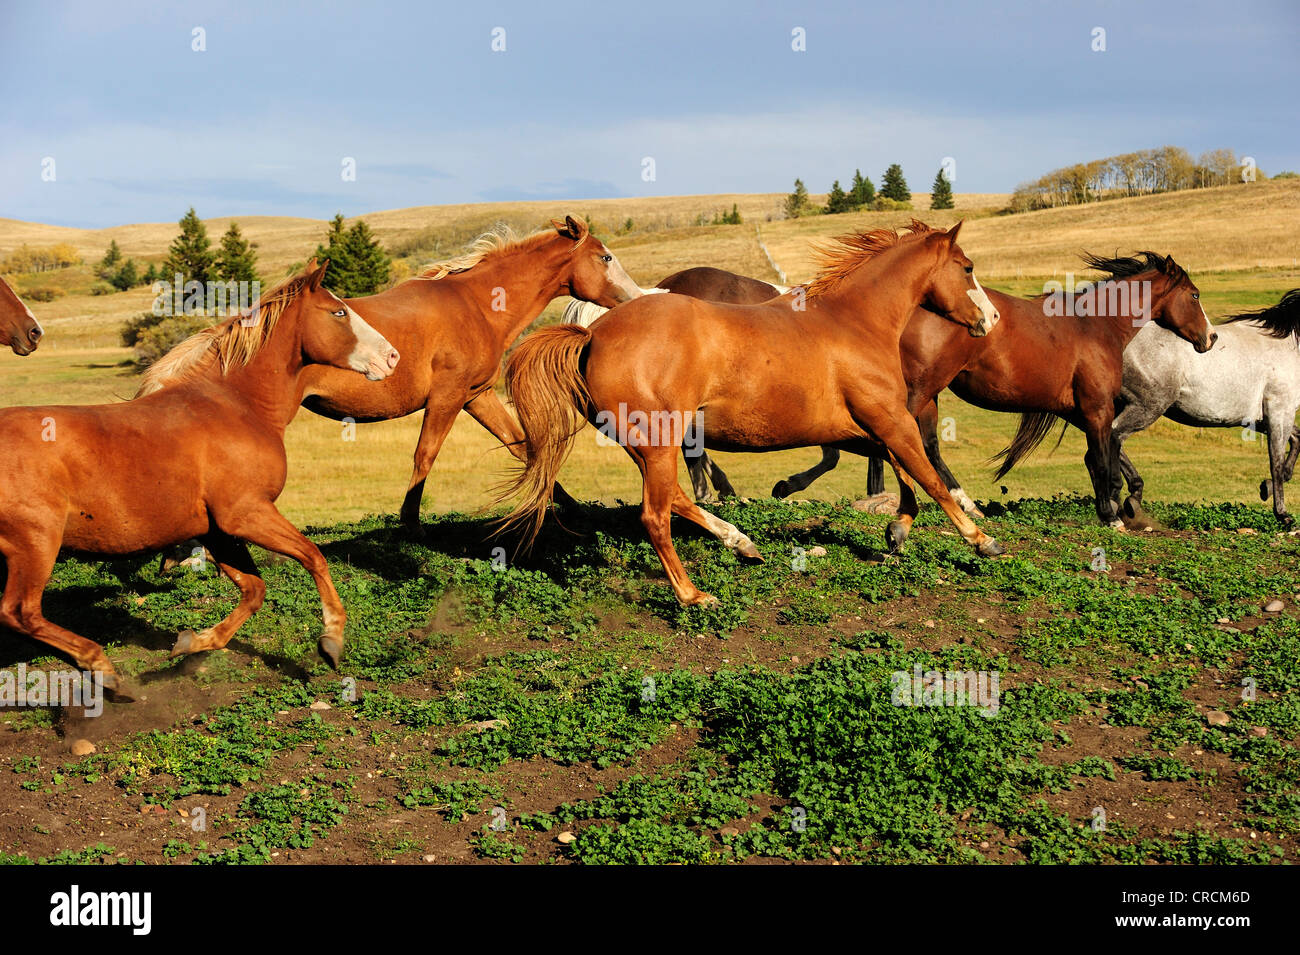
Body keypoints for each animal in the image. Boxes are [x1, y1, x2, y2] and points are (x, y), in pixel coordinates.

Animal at [0, 261, 399, 695]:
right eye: (339, 312)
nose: (393, 357)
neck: (235, 405)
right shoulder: (246, 514)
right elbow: (313, 557)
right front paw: (332, 640)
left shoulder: (217, 529)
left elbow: (254, 589)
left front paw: (191, 643)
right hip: (36, 544)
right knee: (20, 612)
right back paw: (102, 667)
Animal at [294, 216, 641, 533]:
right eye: (605, 257)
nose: (636, 298)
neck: (476, 306)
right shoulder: (447, 398)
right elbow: (425, 455)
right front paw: (411, 524)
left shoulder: (476, 396)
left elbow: (524, 448)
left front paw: (573, 506)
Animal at [499, 220, 1002, 606]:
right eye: (968, 268)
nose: (993, 319)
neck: (852, 321)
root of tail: (593, 335)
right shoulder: (890, 419)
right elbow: (929, 475)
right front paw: (981, 540)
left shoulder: (869, 427)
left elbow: (904, 470)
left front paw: (897, 529)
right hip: (660, 441)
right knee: (656, 516)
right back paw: (694, 595)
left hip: (647, 446)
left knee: (678, 497)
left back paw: (741, 543)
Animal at [750, 251, 1215, 528]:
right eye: (1194, 295)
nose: (1209, 339)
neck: (1095, 325)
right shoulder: (1097, 408)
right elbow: (1104, 460)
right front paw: (1113, 514)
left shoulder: (1078, 410)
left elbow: (1110, 457)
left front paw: (1127, 503)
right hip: (920, 390)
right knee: (903, 445)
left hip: (928, 395)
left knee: (920, 447)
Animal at [1111, 288, 1300, 526]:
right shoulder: (1279, 410)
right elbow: (1276, 461)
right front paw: (1282, 514)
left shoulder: (1262, 417)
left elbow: (1295, 442)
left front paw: (1266, 488)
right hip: (1148, 405)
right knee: (1112, 437)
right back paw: (1127, 501)